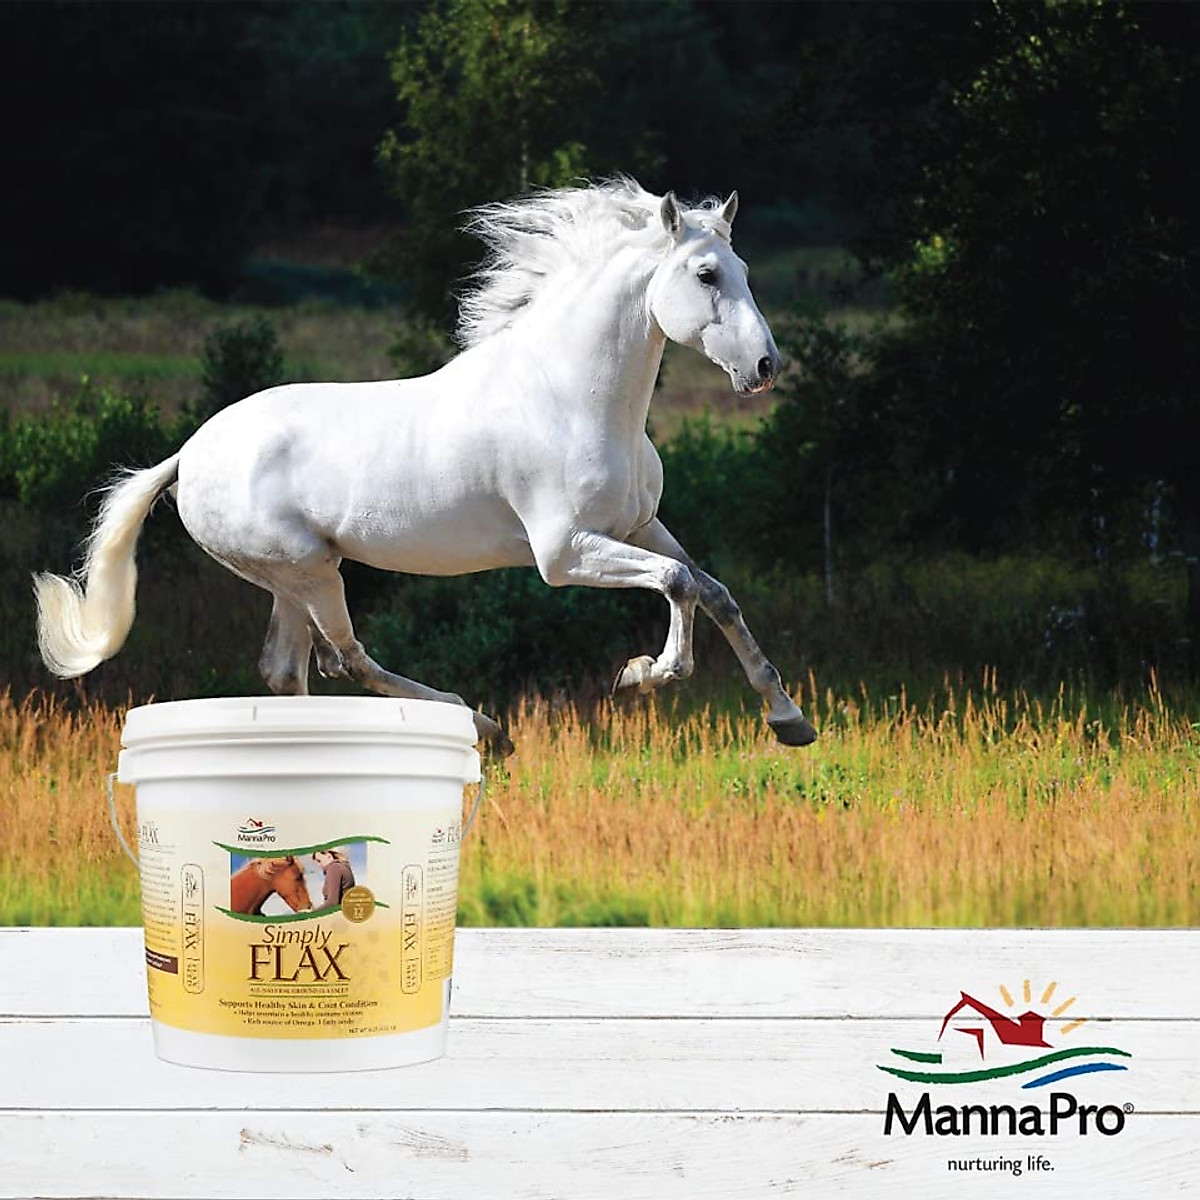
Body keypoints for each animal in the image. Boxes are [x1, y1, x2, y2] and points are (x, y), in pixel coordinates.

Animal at [33, 178, 817, 753]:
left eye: (744, 270)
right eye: (707, 274)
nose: (765, 367)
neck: (573, 396)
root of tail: (189, 455)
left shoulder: (640, 526)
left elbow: (714, 591)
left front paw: (789, 720)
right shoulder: (563, 553)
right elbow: (679, 585)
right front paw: (643, 675)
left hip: (291, 578)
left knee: (289, 668)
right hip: (309, 571)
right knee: (345, 657)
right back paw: (483, 728)